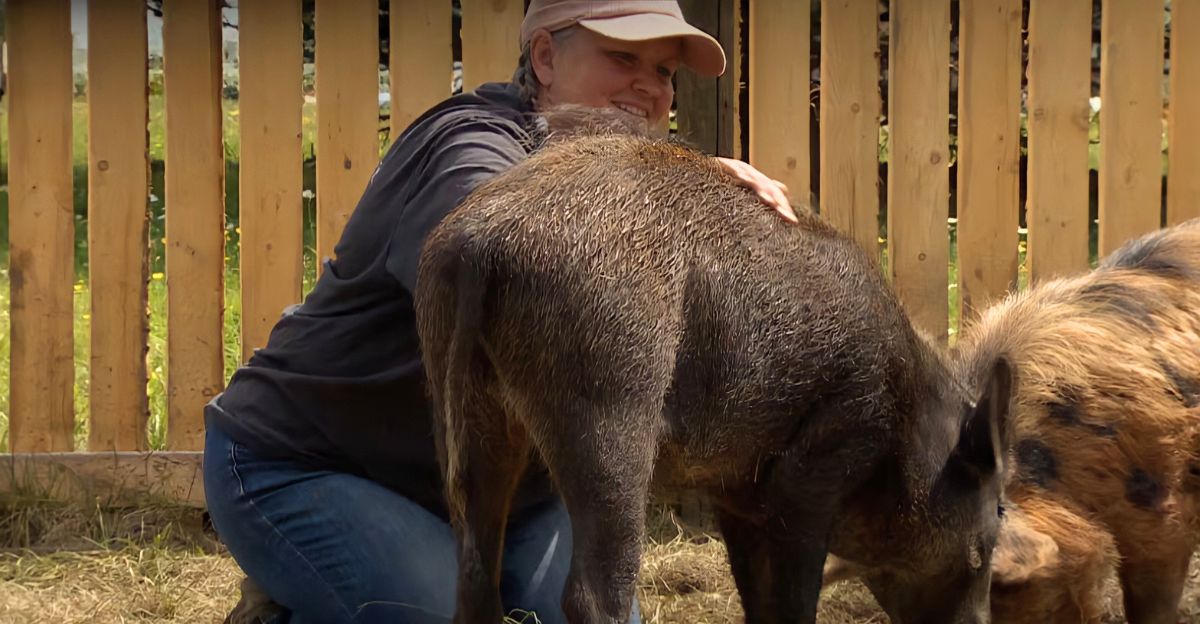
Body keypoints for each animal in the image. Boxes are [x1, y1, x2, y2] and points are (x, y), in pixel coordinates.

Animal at [415, 126, 1013, 624]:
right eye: (986, 539)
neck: (907, 422)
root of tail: (479, 243)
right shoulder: (817, 467)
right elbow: (792, 601)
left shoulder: (738, 496)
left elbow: (757, 598)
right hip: (607, 406)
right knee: (591, 593)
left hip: (464, 403)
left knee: (474, 574)